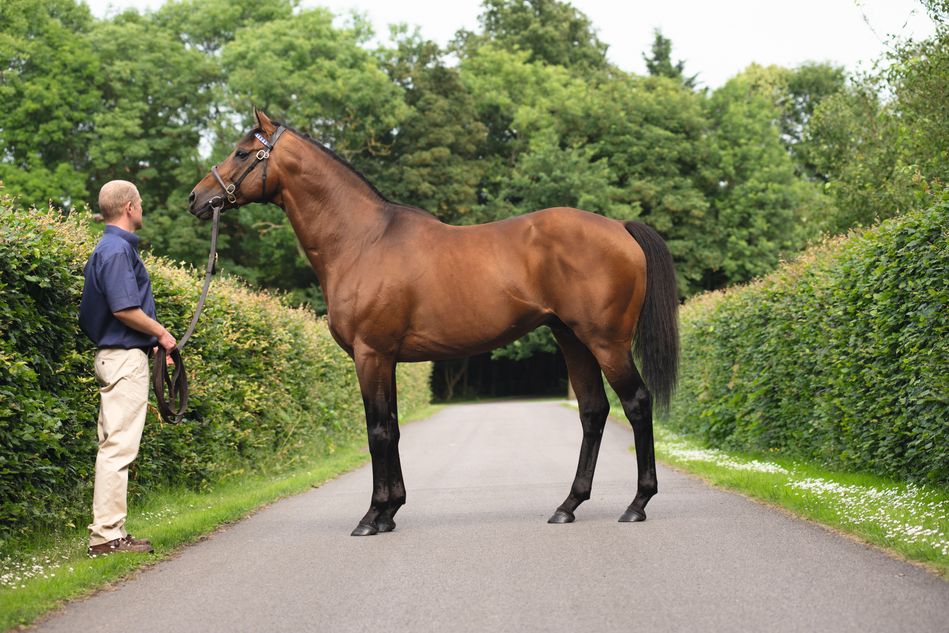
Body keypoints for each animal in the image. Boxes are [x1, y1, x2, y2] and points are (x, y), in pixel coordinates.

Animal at [188, 109, 679, 536]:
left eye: (241, 152)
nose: (196, 198)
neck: (361, 241)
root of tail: (619, 227)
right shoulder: (385, 359)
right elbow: (392, 427)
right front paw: (390, 511)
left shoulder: (370, 354)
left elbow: (378, 430)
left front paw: (372, 517)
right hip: (571, 339)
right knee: (593, 411)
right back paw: (568, 506)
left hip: (606, 342)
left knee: (637, 403)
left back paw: (637, 504)